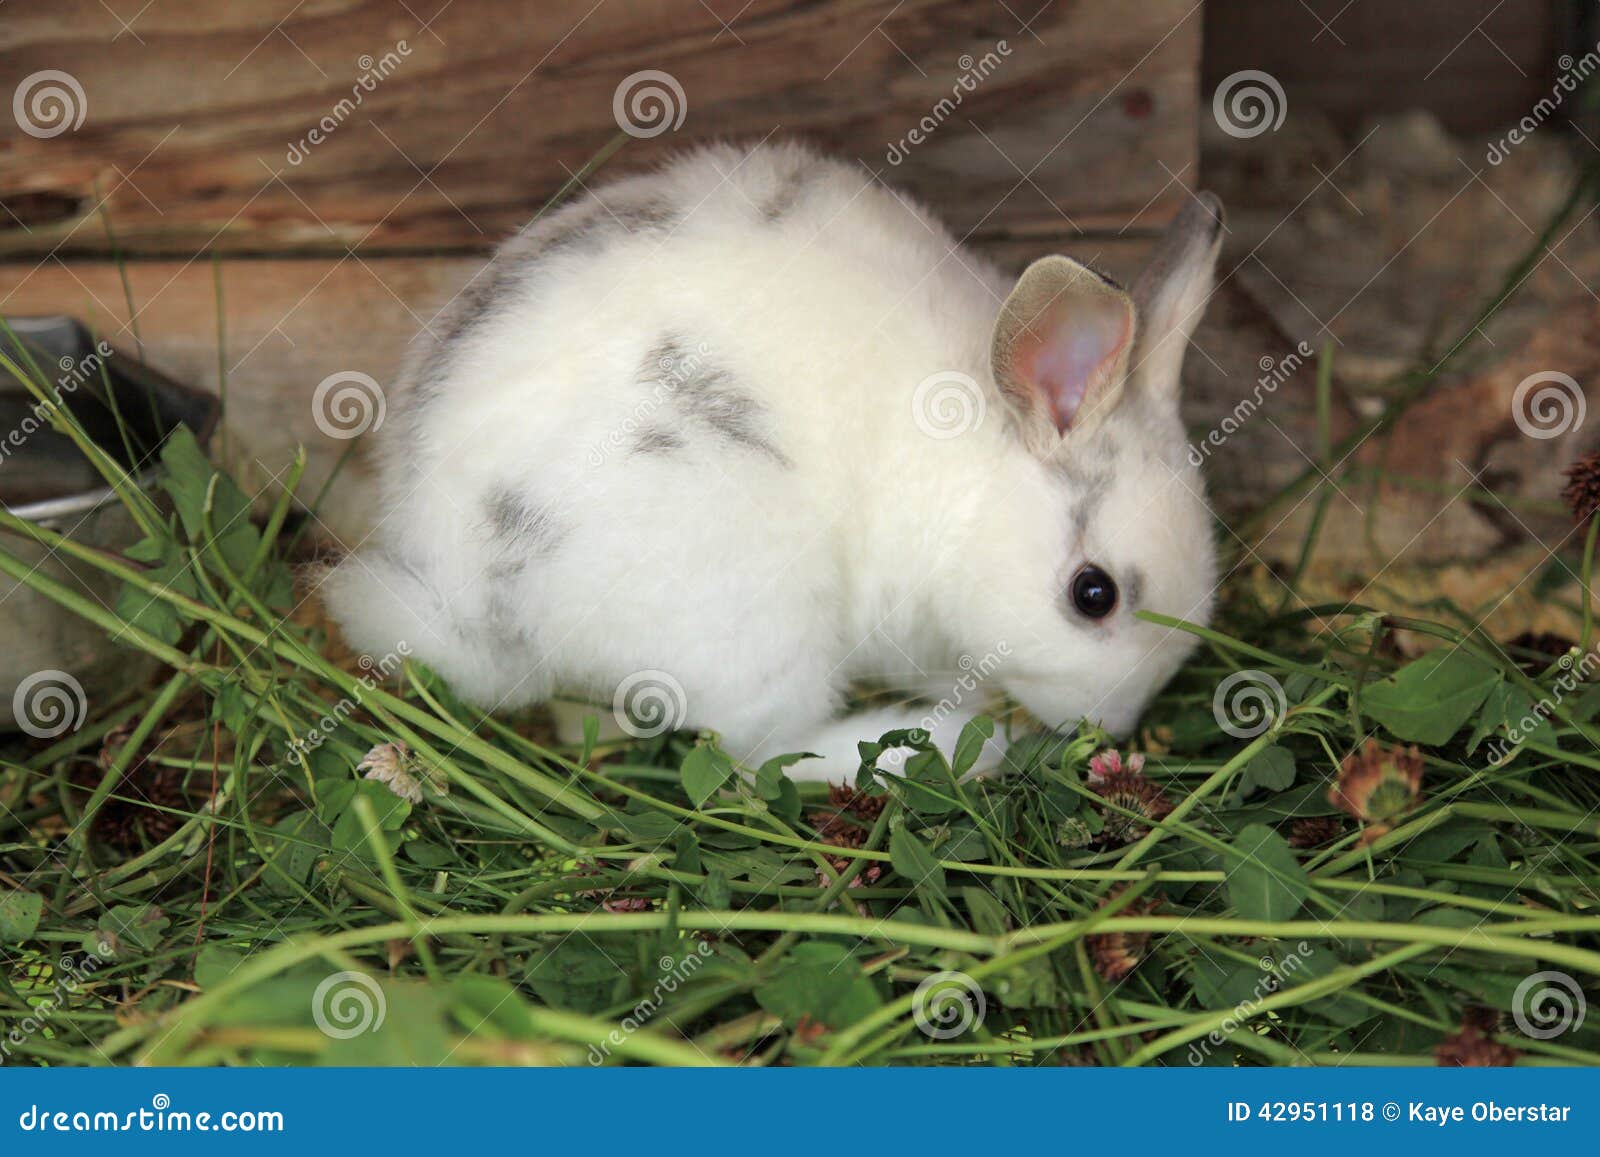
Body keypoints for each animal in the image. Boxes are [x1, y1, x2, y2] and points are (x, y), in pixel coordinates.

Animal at [323, 139, 1223, 782]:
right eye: (1093, 595)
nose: (1111, 725)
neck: (969, 477)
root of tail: (474, 607)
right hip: (757, 617)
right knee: (765, 754)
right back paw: (939, 744)